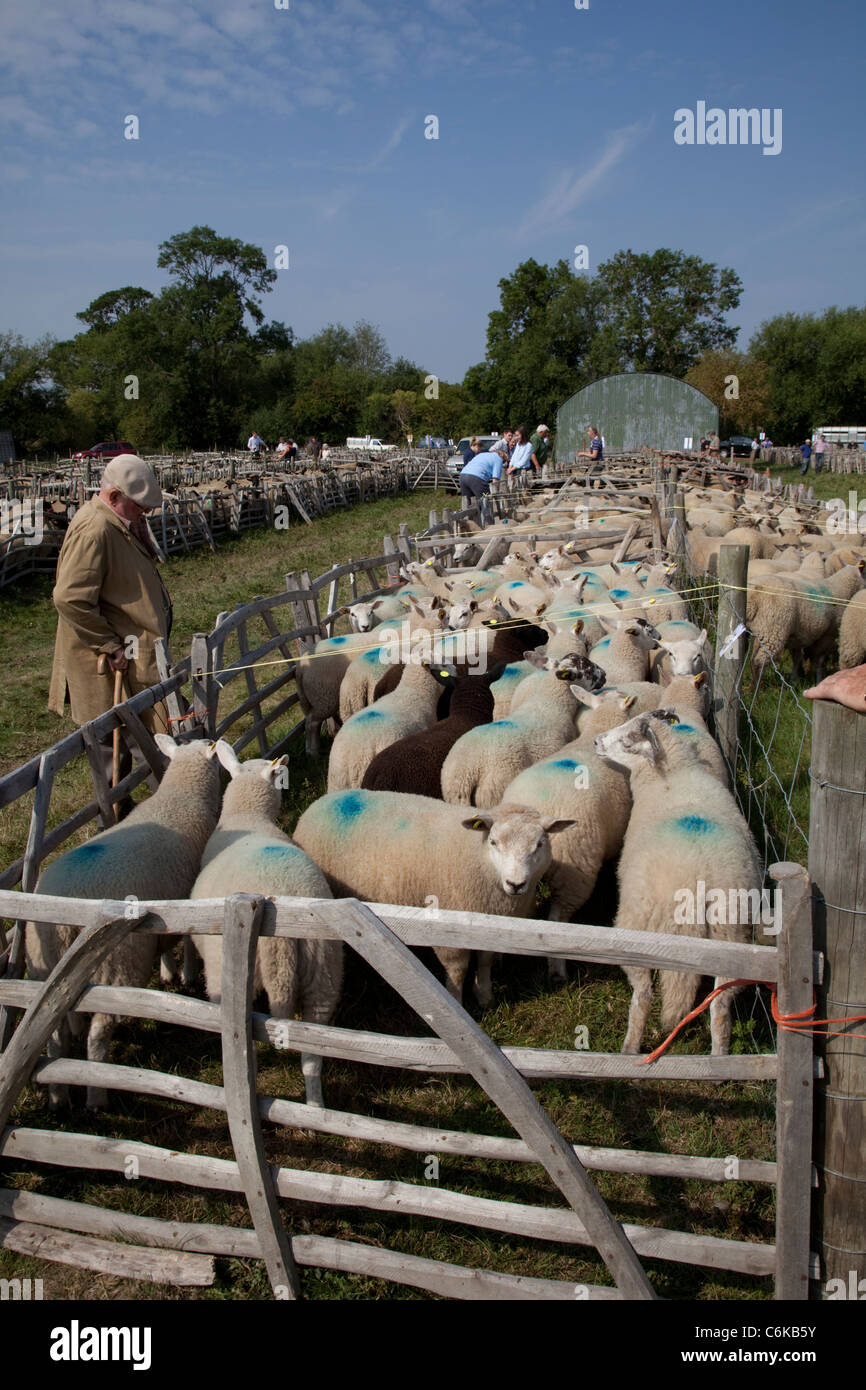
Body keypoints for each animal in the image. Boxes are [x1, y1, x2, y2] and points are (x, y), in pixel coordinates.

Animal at [26, 735, 222, 1109]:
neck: (182, 793)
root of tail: (63, 925)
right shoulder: (191, 895)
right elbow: (189, 943)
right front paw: (188, 975)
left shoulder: (163, 907)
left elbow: (165, 945)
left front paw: (168, 972)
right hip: (117, 967)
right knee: (97, 1036)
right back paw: (96, 1096)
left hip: (45, 970)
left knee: (52, 1036)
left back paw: (59, 1097)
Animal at [190, 742, 342, 1108]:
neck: (247, 815)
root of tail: (281, 939)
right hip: (323, 976)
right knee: (312, 1056)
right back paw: (315, 1108)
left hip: (231, 983)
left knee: (247, 1053)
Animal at [293, 791, 575, 1003]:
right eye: (494, 842)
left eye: (539, 844)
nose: (515, 884)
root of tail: (321, 801)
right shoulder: (446, 931)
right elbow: (457, 971)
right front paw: (459, 1004)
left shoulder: (492, 924)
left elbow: (485, 960)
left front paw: (484, 996)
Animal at [440, 651, 605, 808]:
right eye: (588, 669)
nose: (604, 674)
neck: (552, 700)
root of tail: (468, 771)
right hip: (494, 791)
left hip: (456, 793)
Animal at [595, 711, 762, 1055]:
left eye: (626, 740)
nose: (596, 741)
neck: (673, 774)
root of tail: (696, 881)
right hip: (732, 935)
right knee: (720, 1005)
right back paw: (719, 1056)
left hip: (637, 927)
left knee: (643, 994)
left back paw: (630, 1048)